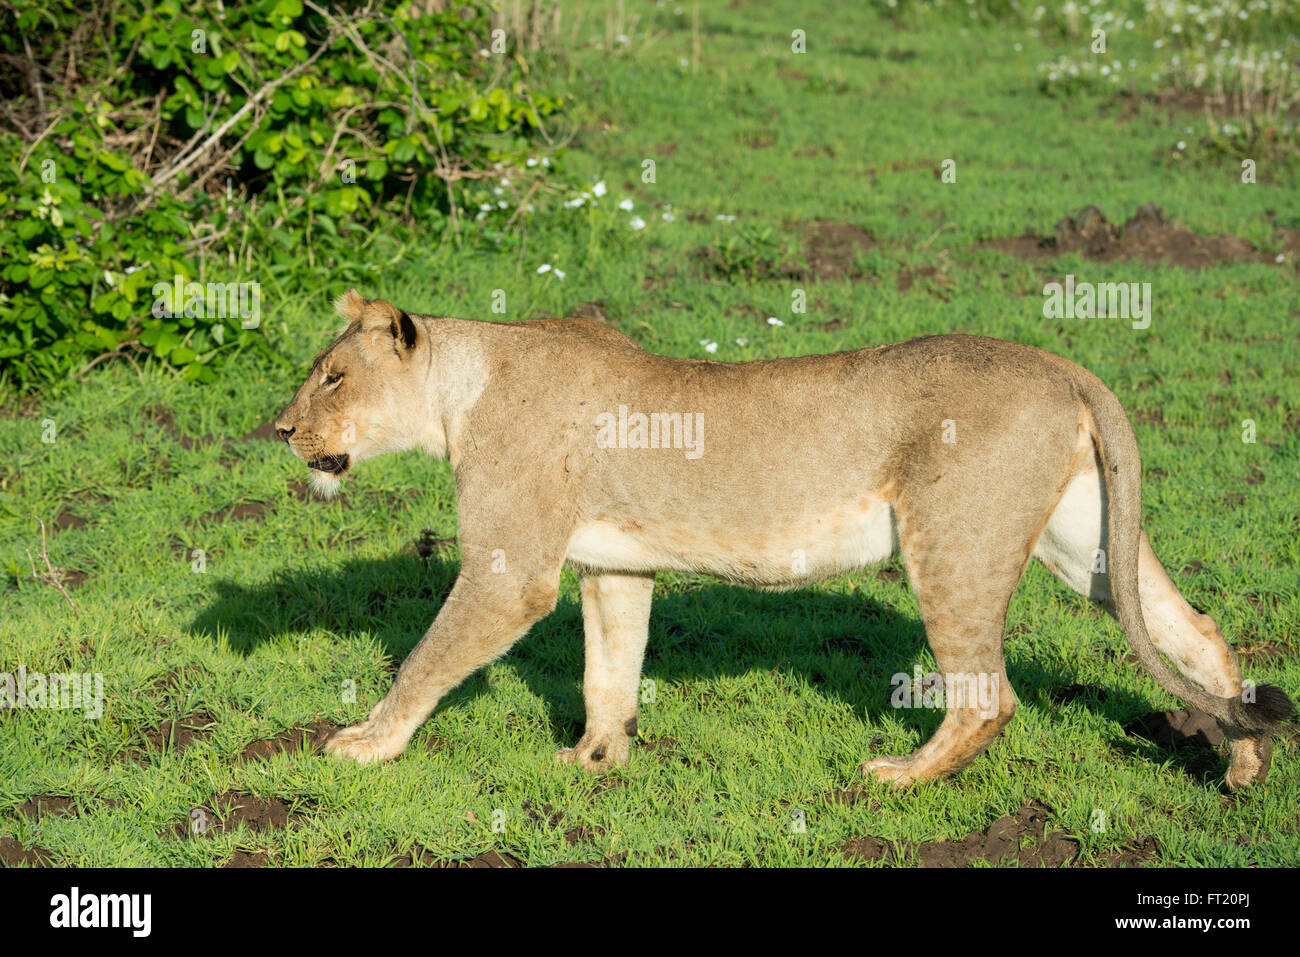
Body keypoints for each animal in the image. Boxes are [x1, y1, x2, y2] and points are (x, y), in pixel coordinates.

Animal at [272, 289, 1293, 790]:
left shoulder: (509, 570)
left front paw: (364, 744)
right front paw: (595, 761)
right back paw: (1243, 758)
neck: (460, 391)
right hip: (1085, 543)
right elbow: (610, 668)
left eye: (331, 377)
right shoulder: (613, 564)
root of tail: (1065, 363)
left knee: (989, 696)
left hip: (953, 543)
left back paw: (901, 777)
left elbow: (427, 658)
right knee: (1192, 626)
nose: (279, 430)